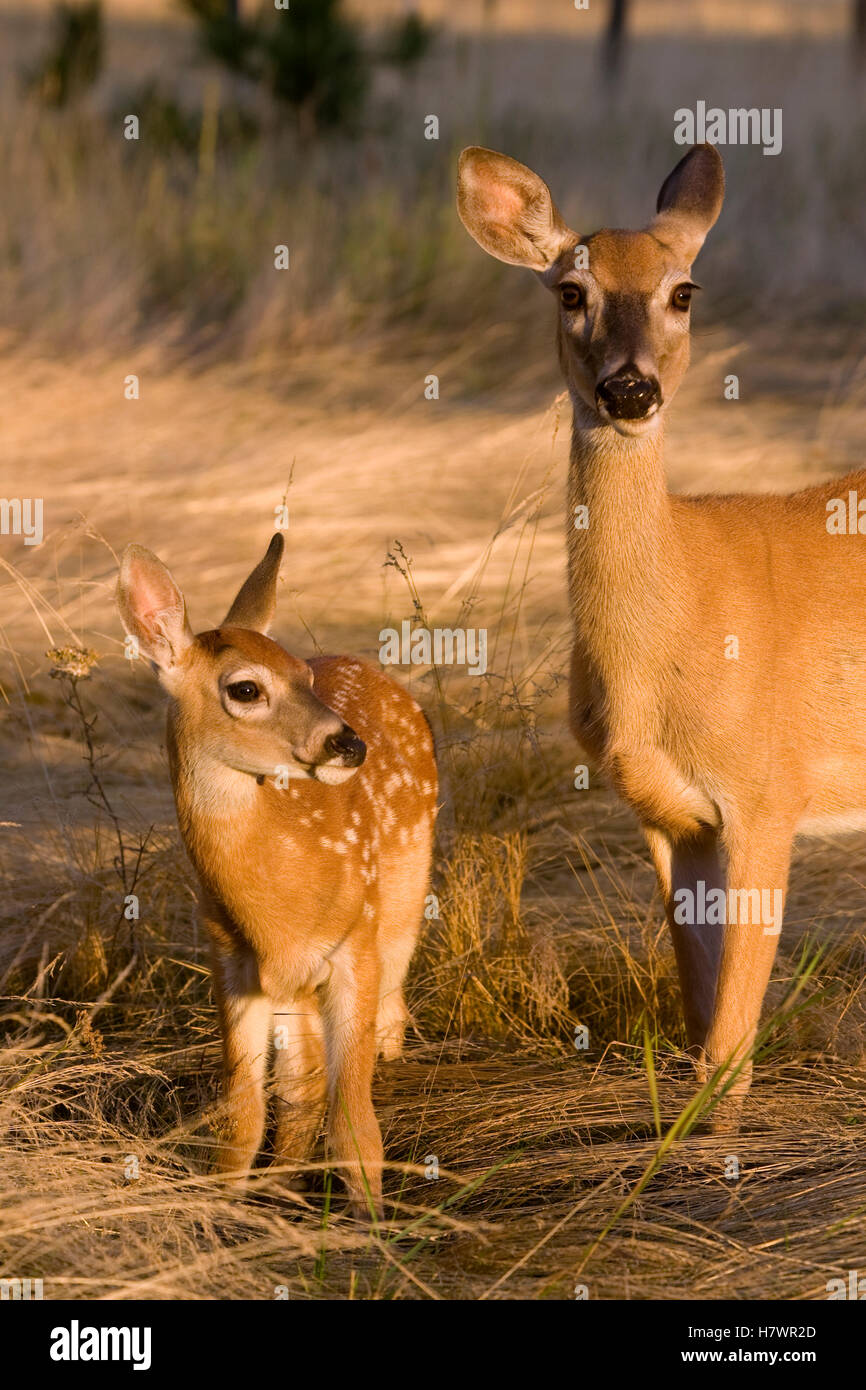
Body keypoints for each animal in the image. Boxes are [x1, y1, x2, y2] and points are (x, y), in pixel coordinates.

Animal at [116, 533, 437, 1216]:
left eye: (304, 676)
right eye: (245, 689)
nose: (349, 744)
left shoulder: (355, 944)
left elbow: (354, 1121)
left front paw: (371, 1219)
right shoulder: (232, 962)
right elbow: (243, 1116)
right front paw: (227, 1206)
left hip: (403, 902)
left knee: (391, 1016)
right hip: (295, 988)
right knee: (302, 1083)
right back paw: (284, 1182)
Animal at [457, 141, 866, 1122]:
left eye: (685, 291)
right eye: (570, 291)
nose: (630, 387)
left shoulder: (770, 791)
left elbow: (729, 1051)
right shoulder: (670, 818)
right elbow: (702, 1016)